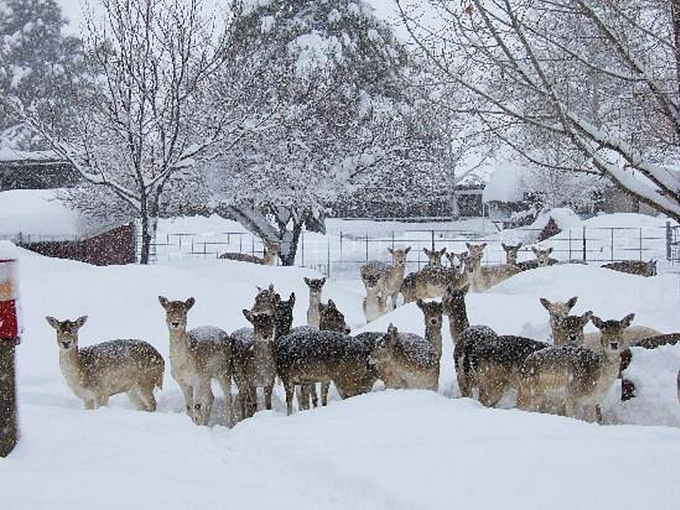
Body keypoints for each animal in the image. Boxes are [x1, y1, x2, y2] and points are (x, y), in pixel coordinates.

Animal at [158, 296, 233, 426]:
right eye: (168, 311)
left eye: (185, 312)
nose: (175, 323)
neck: (183, 366)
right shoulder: (182, 382)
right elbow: (189, 406)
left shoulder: (198, 378)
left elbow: (197, 406)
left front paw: (197, 424)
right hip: (207, 377)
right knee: (211, 397)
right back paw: (206, 423)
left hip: (223, 371)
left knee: (228, 397)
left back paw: (229, 423)